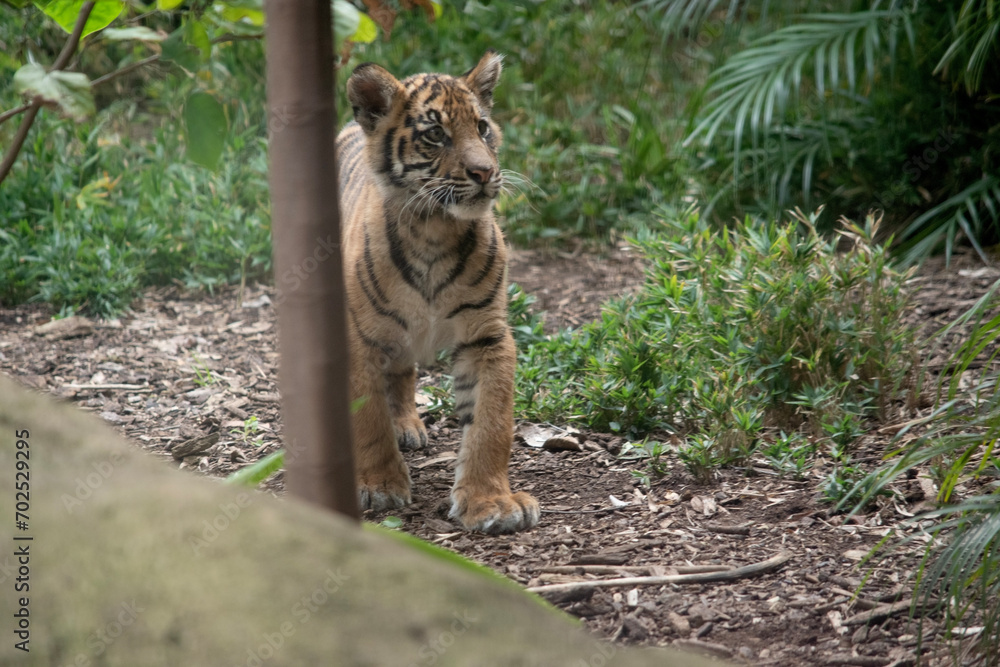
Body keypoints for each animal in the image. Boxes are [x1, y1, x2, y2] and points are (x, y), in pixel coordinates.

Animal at [335, 51, 540, 534]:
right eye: (435, 135)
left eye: (482, 127)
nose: (485, 172)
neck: (434, 231)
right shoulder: (360, 338)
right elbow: (368, 418)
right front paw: (379, 485)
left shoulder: (486, 337)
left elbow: (491, 423)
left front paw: (490, 501)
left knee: (402, 373)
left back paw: (408, 426)